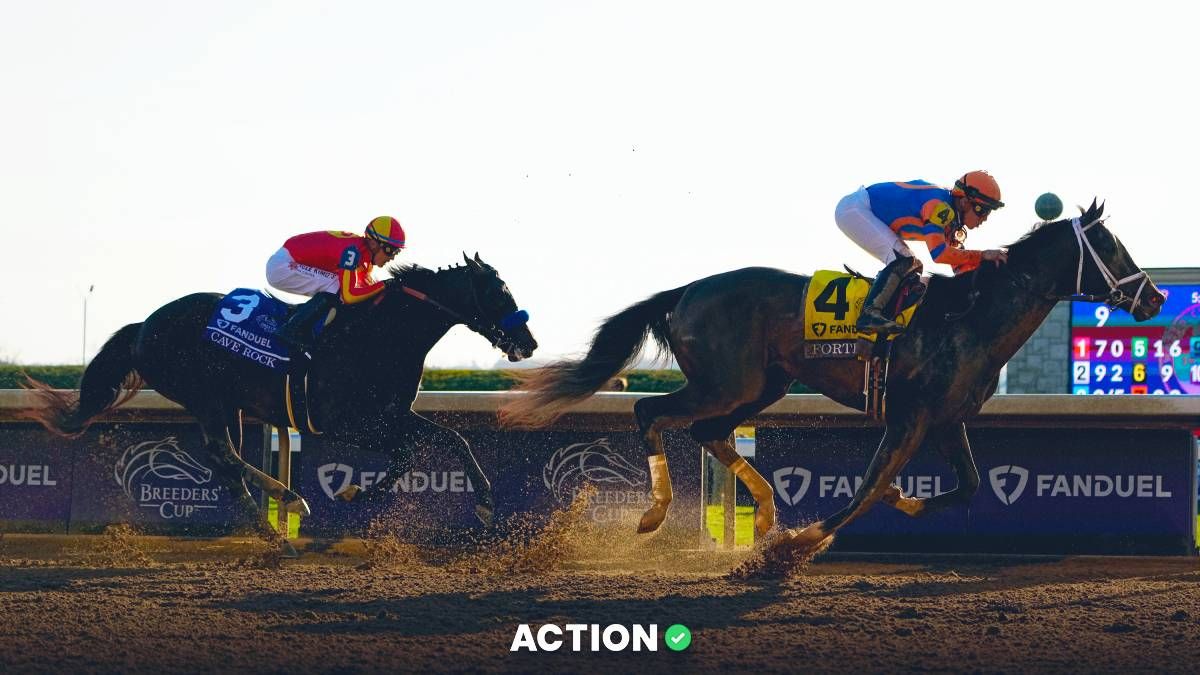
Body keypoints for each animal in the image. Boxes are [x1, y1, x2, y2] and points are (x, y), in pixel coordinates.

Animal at [25, 253, 537, 547]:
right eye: (499, 292)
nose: (528, 342)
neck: (378, 334)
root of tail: (143, 326)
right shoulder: (347, 421)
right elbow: (411, 451)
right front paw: (354, 491)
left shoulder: (391, 414)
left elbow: (446, 441)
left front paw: (484, 502)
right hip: (206, 397)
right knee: (223, 455)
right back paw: (287, 504)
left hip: (225, 403)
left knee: (224, 461)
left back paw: (273, 523)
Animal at [499, 200, 1163, 561]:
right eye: (1112, 247)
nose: (1154, 298)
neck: (971, 317)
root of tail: (687, 290)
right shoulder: (909, 416)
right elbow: (867, 488)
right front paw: (801, 543)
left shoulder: (947, 418)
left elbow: (968, 485)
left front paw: (901, 500)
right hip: (727, 382)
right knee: (651, 414)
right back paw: (655, 514)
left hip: (761, 386)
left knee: (709, 431)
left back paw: (765, 511)